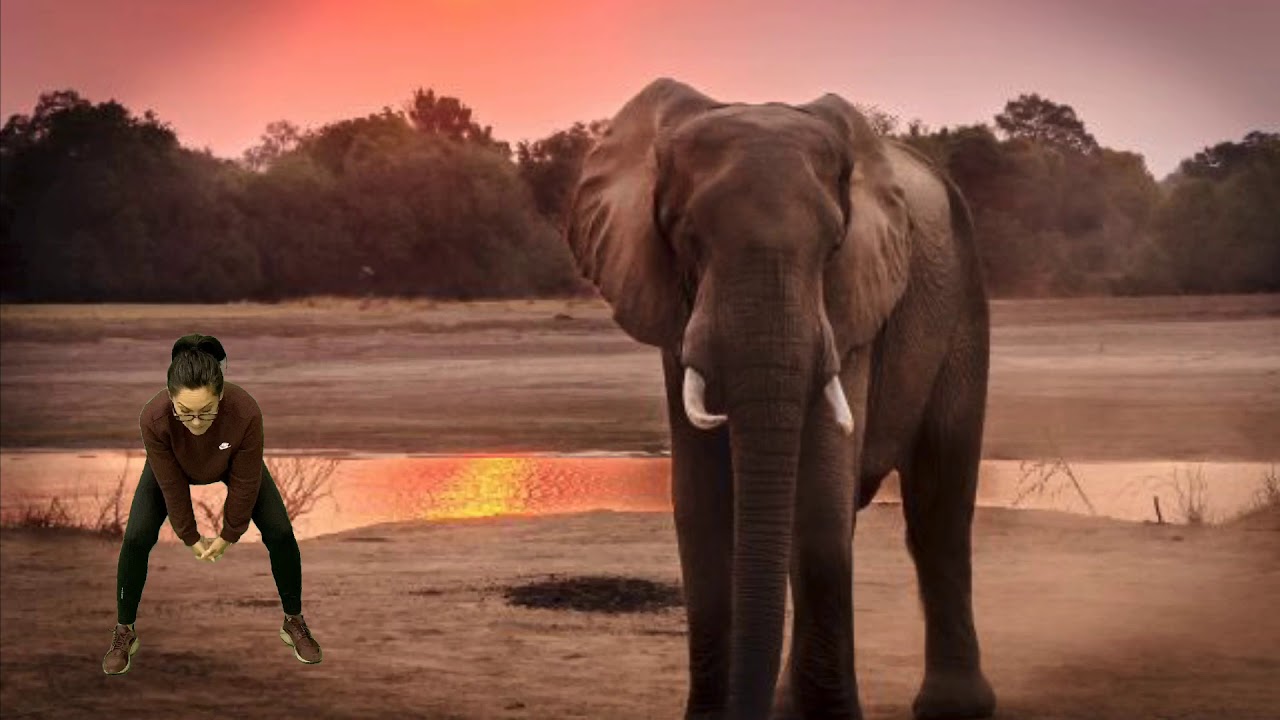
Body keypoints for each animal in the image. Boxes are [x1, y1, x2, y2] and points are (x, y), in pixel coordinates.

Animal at [564, 78, 995, 720]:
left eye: (834, 244)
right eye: (687, 239)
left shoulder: (852, 302)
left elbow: (817, 496)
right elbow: (701, 502)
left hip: (964, 298)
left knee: (939, 500)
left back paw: (955, 707)